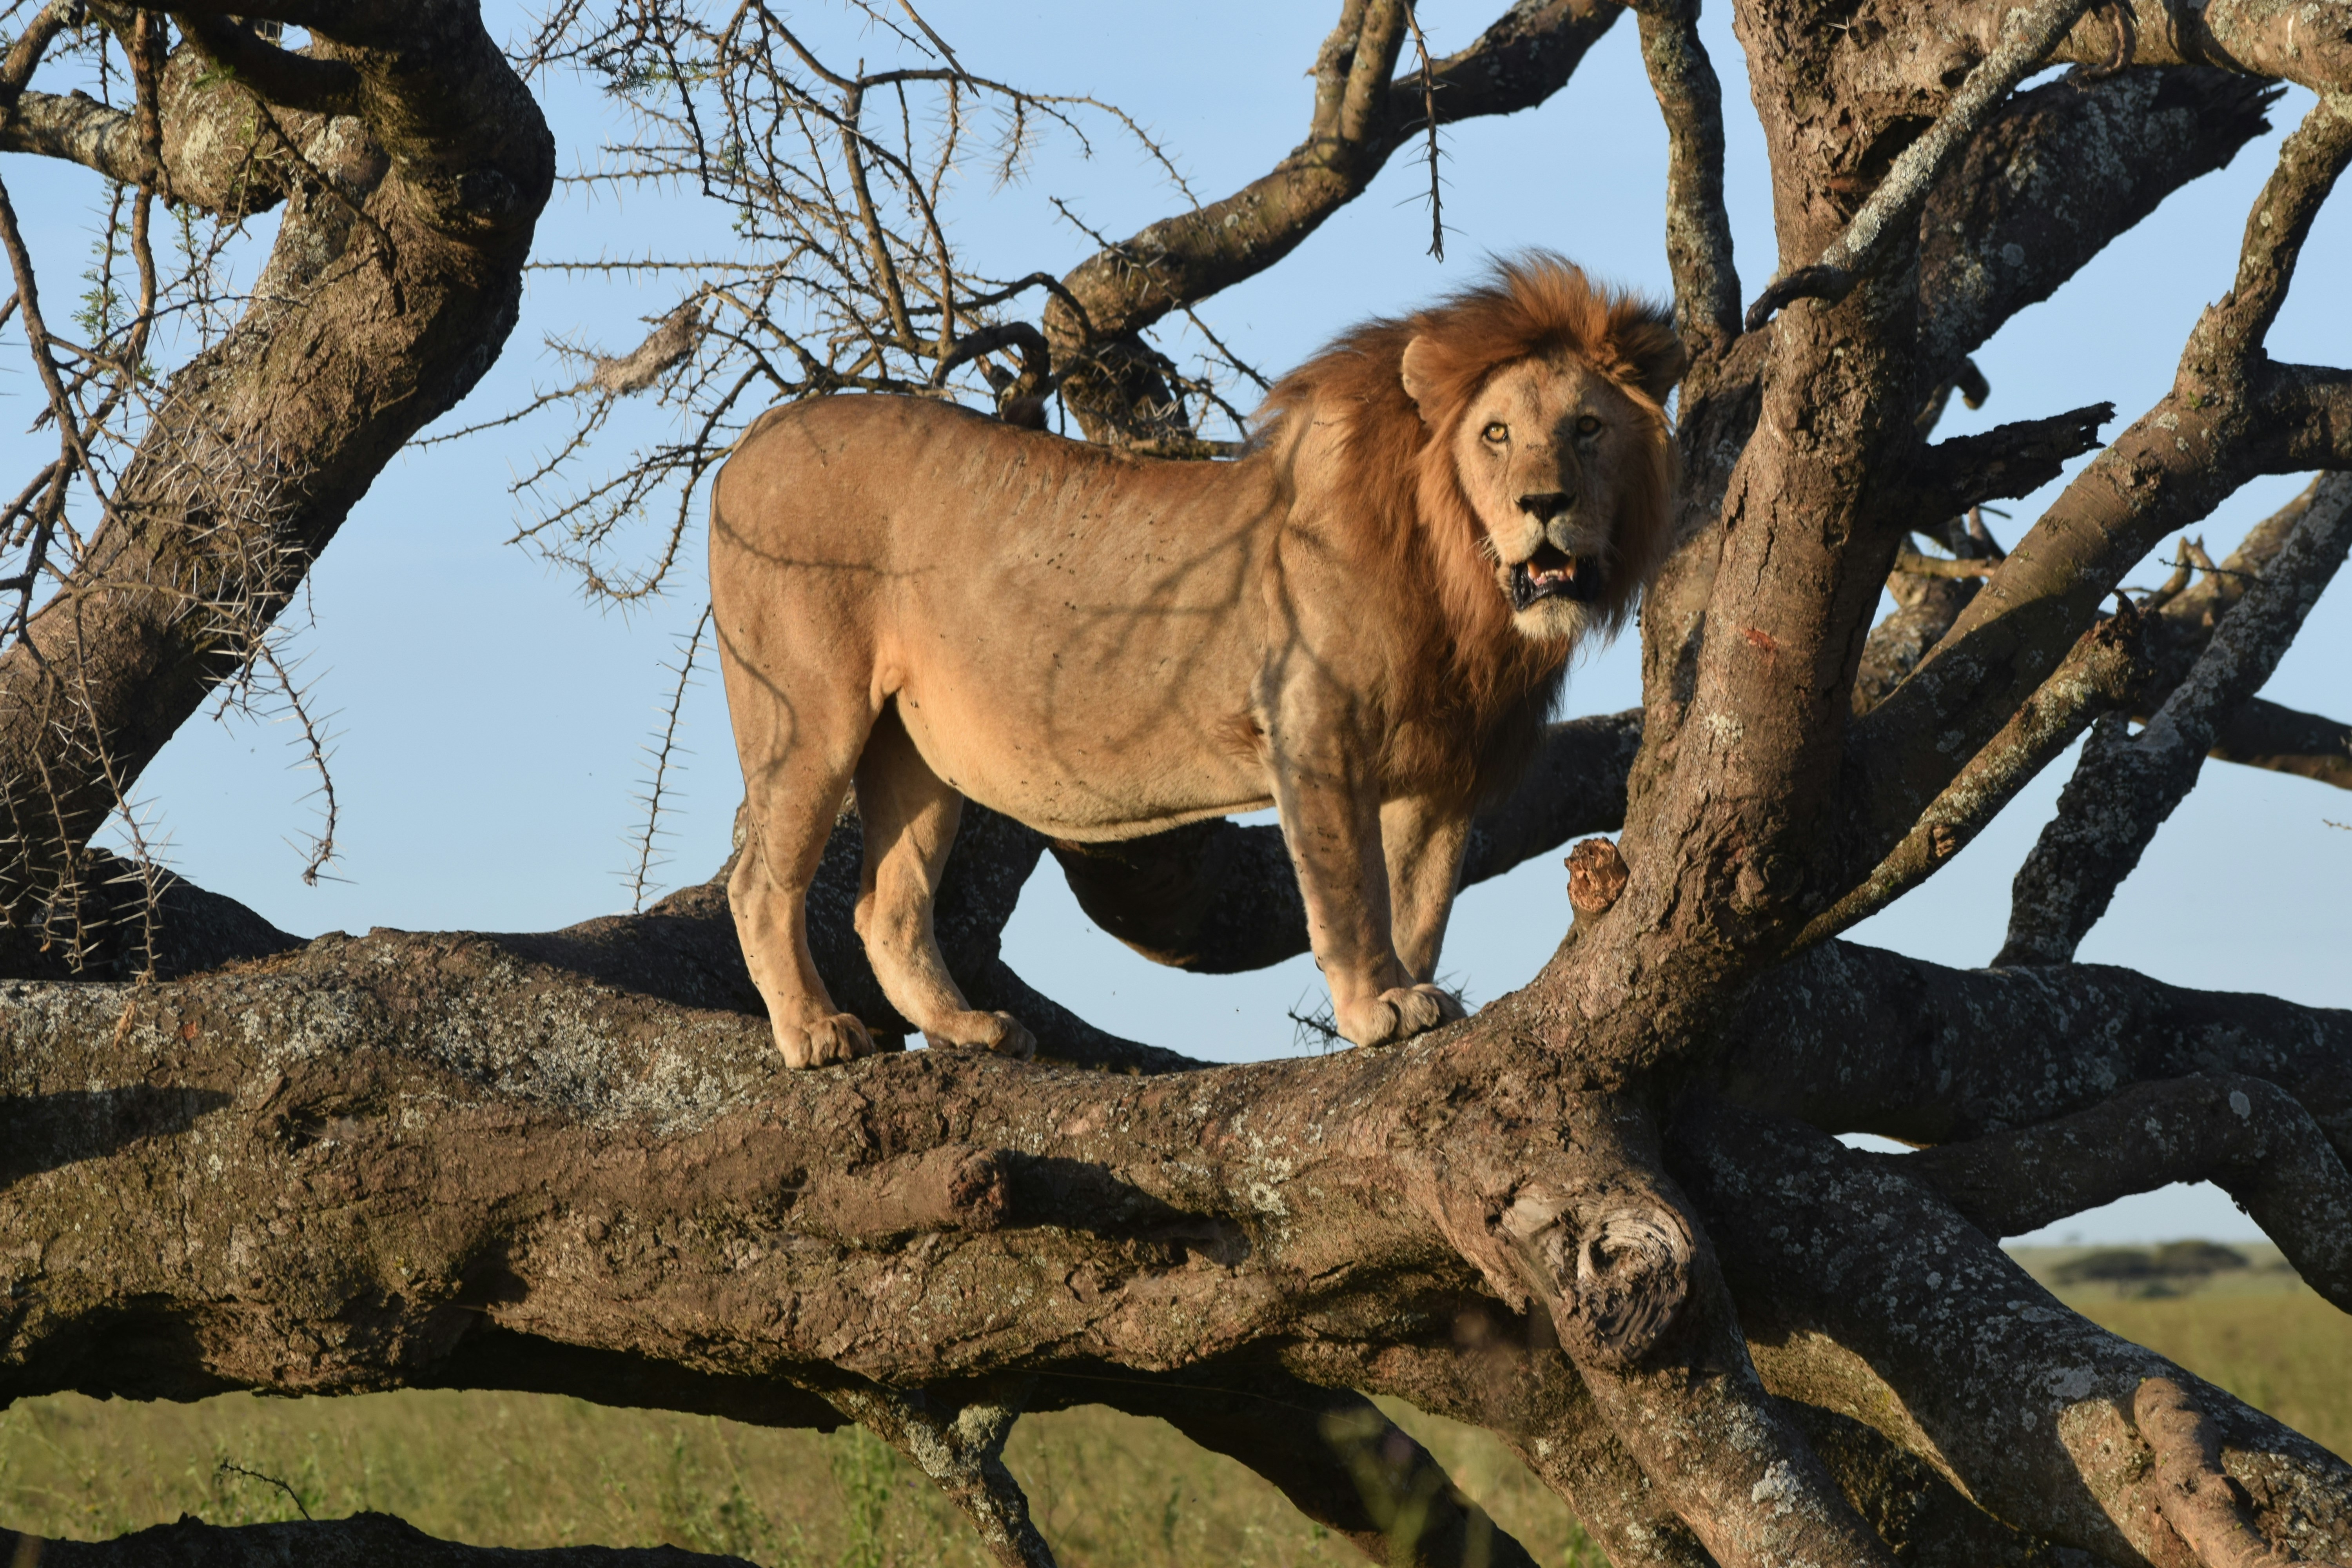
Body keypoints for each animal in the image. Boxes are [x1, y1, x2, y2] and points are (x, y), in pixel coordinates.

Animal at [710, 255, 1684, 1068]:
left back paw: (967, 1027)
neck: (1462, 582)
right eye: (1495, 433)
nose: (1544, 503)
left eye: (1587, 427)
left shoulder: (1445, 774)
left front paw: (1411, 991)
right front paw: (1376, 1006)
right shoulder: (1312, 730)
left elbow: (1419, 902)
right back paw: (814, 1033)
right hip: (809, 714)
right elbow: (1350, 890)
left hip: (912, 750)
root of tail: (749, 443)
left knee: (886, 905)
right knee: (762, 883)